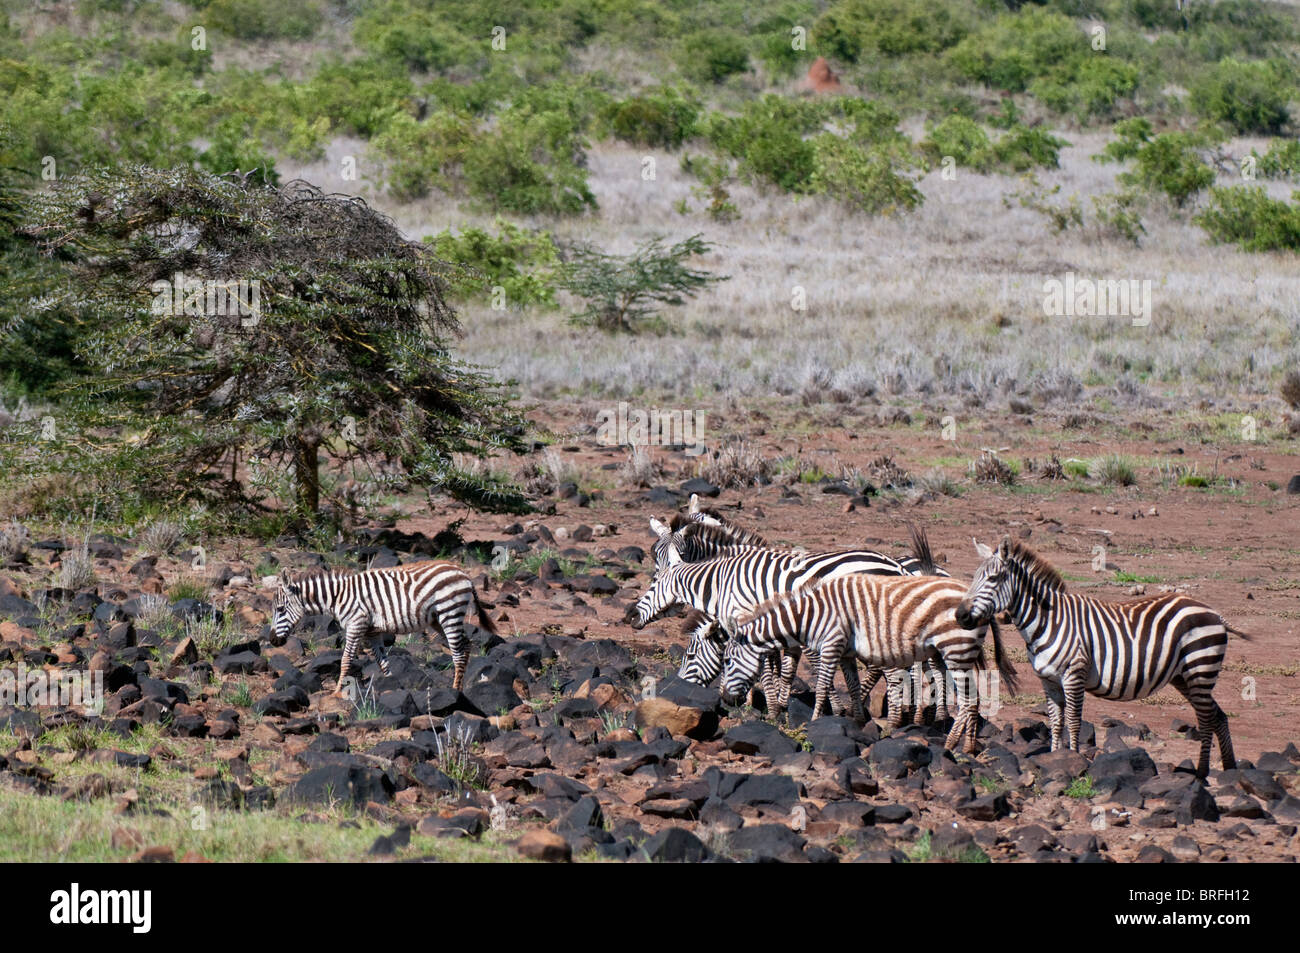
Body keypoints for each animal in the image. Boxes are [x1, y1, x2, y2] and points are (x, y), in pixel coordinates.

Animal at [271, 561, 497, 696]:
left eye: (280, 609)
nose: (273, 640)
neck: (338, 597)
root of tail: (462, 572)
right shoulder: (373, 631)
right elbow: (383, 662)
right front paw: (391, 687)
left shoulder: (356, 624)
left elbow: (346, 660)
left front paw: (336, 692)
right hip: (438, 619)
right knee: (465, 645)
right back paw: (460, 688)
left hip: (449, 612)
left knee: (458, 651)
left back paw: (455, 690)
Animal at [721, 574, 1017, 753]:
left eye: (727, 660)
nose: (724, 698)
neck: (810, 615)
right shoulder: (846, 653)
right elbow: (852, 687)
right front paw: (858, 721)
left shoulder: (831, 644)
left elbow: (822, 688)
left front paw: (815, 723)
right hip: (949, 652)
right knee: (972, 699)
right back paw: (964, 746)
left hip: (955, 648)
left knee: (968, 701)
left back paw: (952, 745)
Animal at [954, 537, 1242, 777]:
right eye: (974, 577)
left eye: (993, 579)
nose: (960, 615)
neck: (1047, 621)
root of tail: (1214, 613)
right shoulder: (1048, 680)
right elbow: (1055, 722)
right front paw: (1054, 758)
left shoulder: (1074, 674)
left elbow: (1073, 721)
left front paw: (1072, 758)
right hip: (1184, 676)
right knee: (1217, 715)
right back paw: (1229, 769)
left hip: (1200, 669)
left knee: (1206, 718)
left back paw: (1202, 773)